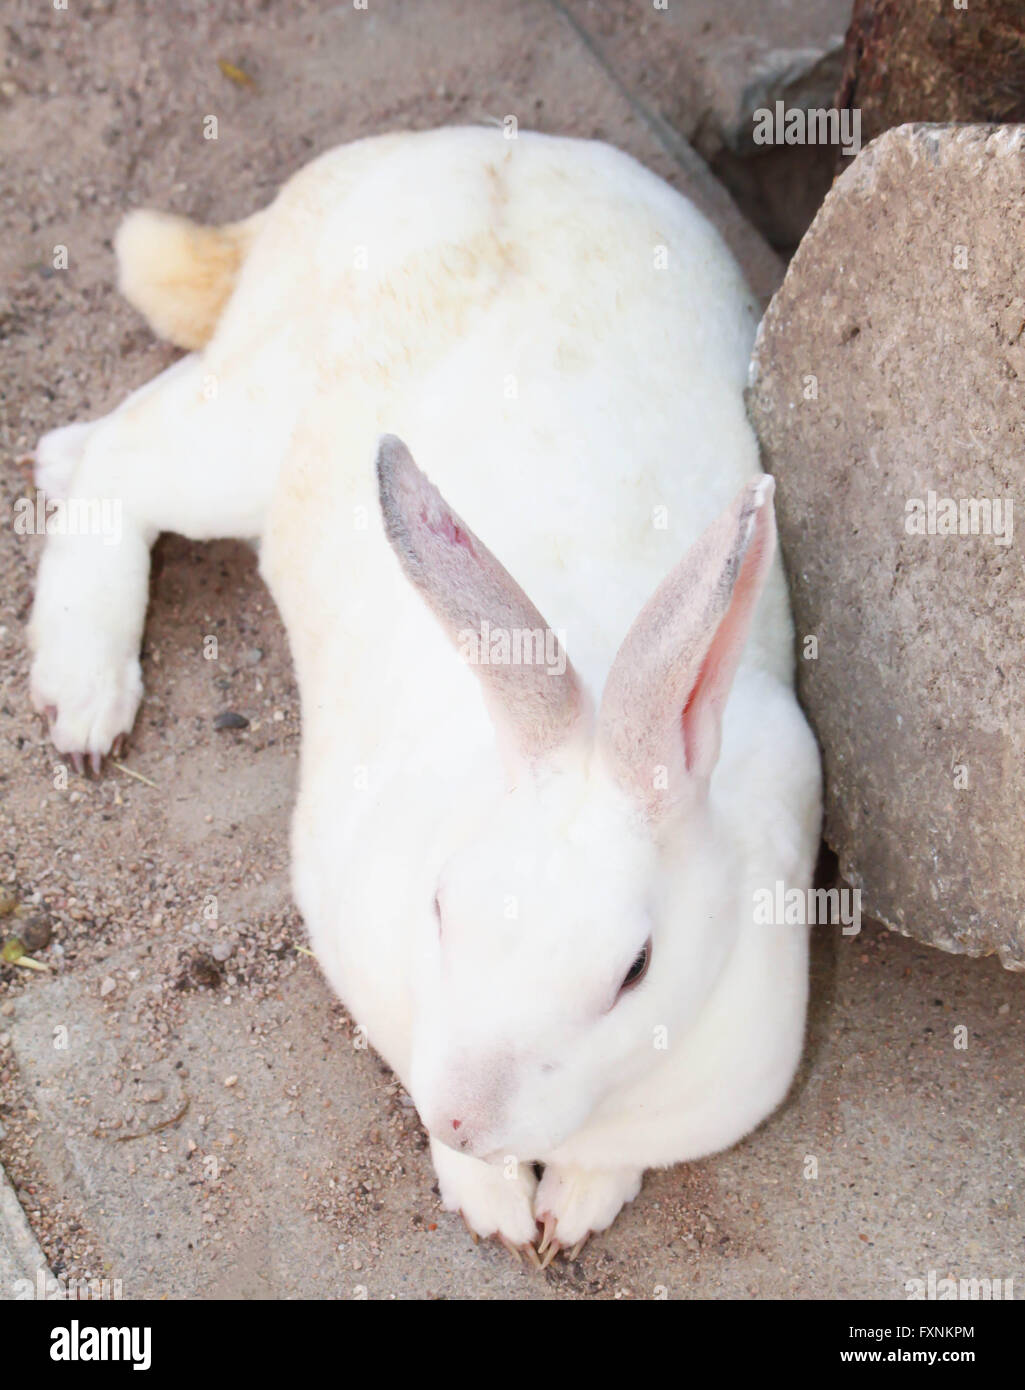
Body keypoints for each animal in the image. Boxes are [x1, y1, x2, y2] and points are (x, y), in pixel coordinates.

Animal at [27, 126, 822, 1263]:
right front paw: (490, 1204)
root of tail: (417, 151)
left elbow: (623, 1157)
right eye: (442, 907)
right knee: (131, 466)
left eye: (635, 969)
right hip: (240, 441)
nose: (464, 1116)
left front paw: (572, 1207)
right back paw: (83, 698)